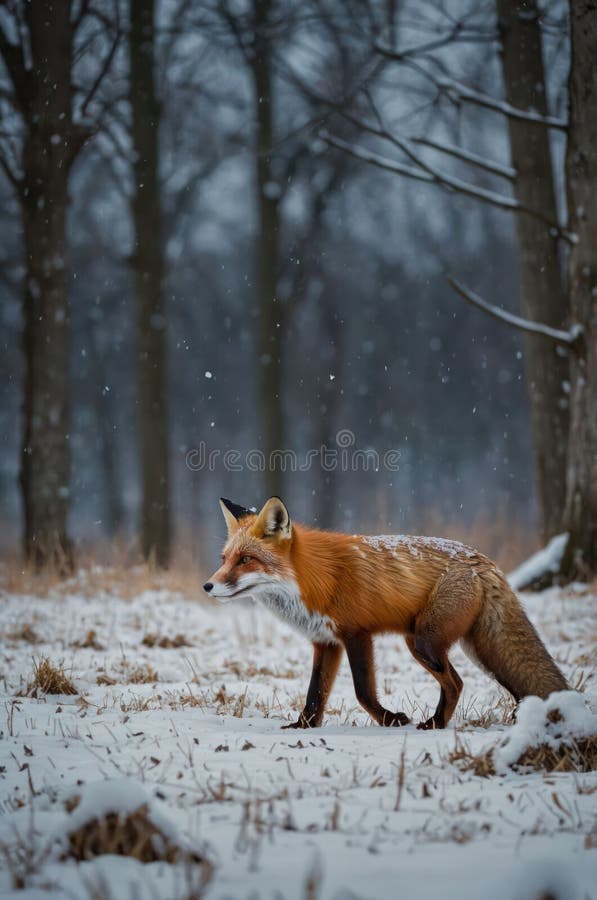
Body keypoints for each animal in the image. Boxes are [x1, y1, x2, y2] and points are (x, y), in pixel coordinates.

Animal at [203, 496, 568, 730]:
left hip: (425, 644)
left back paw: (435, 724)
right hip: (459, 646)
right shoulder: (326, 642)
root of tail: (486, 562)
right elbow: (315, 693)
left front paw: (390, 720)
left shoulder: (357, 634)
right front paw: (303, 727)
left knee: (456, 682)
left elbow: (362, 691)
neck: (313, 578)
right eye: (224, 559)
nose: (207, 586)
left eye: (246, 560)